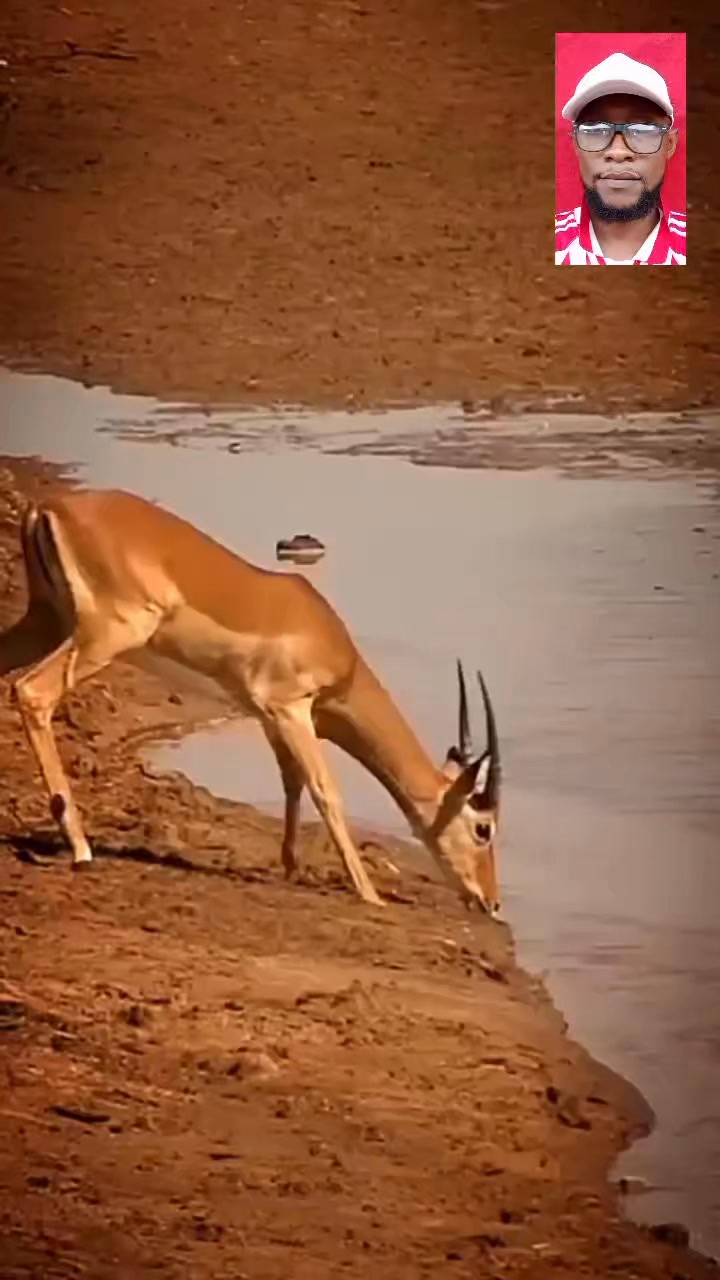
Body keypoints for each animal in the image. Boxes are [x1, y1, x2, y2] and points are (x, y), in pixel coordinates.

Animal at [0, 489, 502, 914]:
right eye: (484, 827)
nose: (492, 901)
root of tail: (51, 505)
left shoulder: (266, 715)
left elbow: (292, 782)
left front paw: (292, 866)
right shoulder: (291, 708)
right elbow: (325, 790)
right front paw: (369, 893)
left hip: (44, 621)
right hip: (104, 636)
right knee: (32, 692)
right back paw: (81, 848)